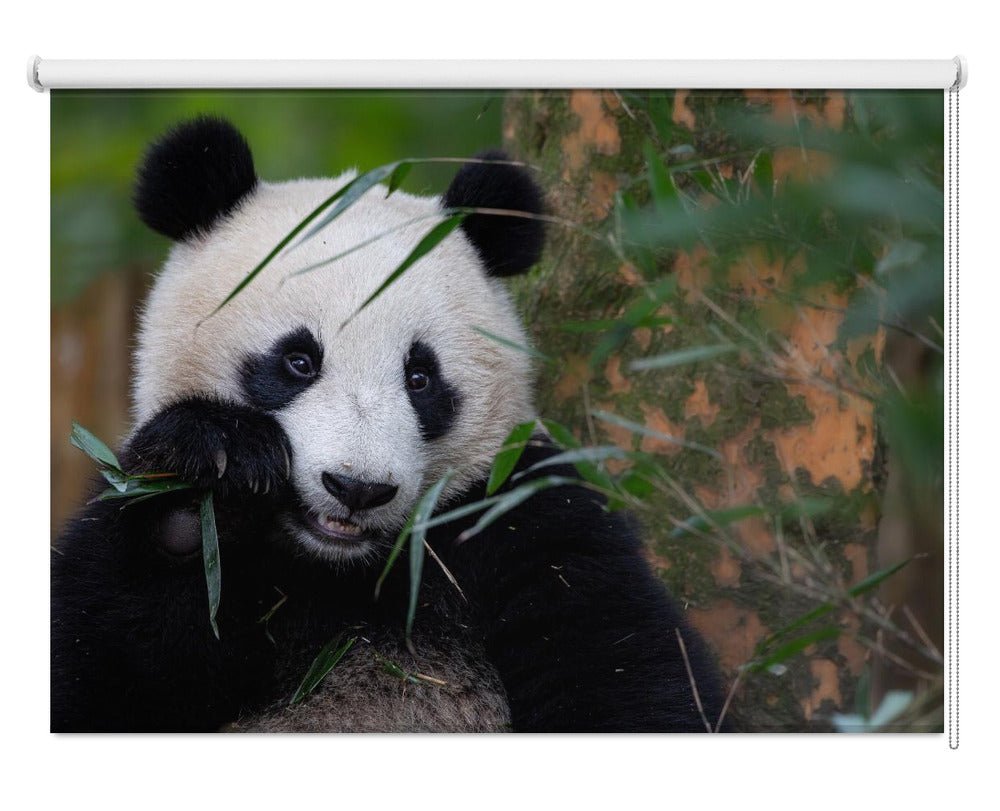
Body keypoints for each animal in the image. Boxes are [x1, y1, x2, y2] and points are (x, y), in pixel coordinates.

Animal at [50, 116, 727, 732]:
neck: (342, 565)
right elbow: (96, 659)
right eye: (298, 361)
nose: (356, 488)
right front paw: (205, 485)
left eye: (420, 377)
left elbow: (627, 674)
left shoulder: (524, 516)